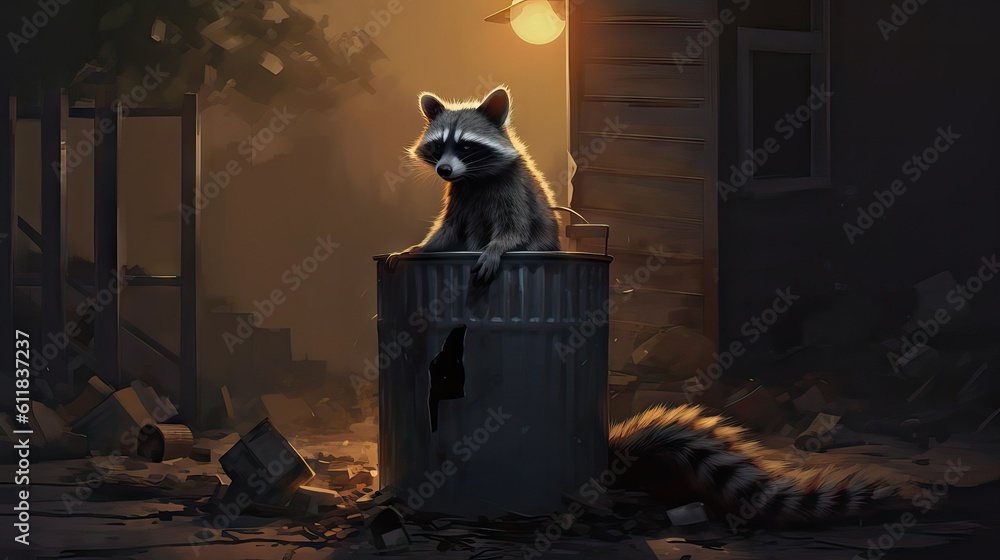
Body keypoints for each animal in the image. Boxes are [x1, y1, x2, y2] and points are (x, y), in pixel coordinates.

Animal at [389, 86, 561, 285]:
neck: (473, 177)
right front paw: (421, 246)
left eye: (465, 147)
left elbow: (515, 229)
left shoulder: (514, 189)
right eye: (439, 146)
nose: (444, 169)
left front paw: (495, 247)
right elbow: (448, 230)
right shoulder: (458, 195)